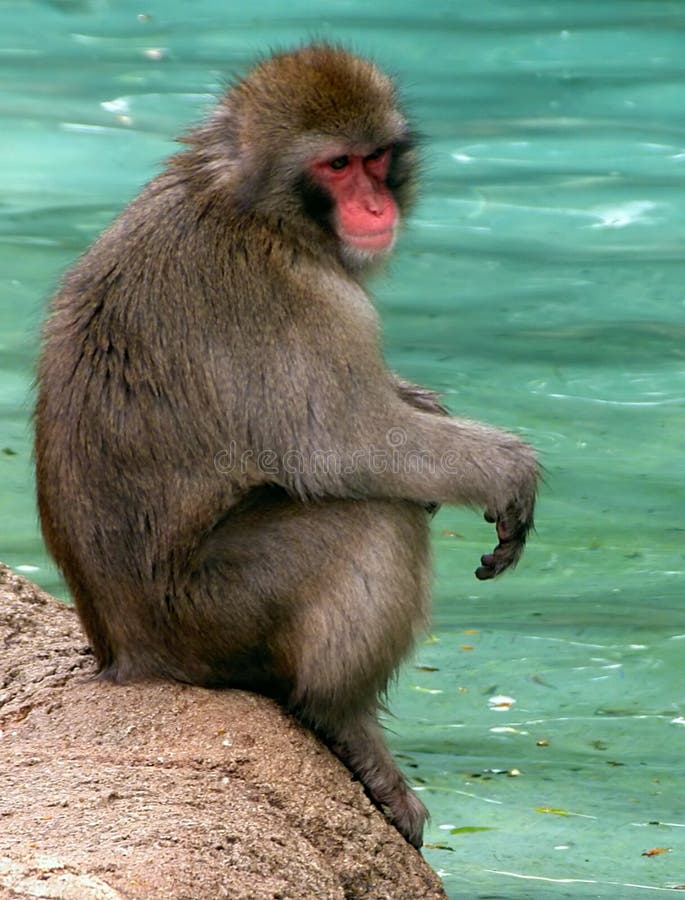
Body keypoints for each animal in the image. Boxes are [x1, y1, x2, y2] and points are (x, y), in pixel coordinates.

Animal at [35, 43, 538, 849]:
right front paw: (504, 469)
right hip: (210, 619)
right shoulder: (299, 299)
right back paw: (345, 721)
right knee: (372, 517)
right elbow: (343, 447)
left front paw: (423, 403)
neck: (249, 205)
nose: (376, 207)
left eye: (375, 158)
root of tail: (126, 654)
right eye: (336, 166)